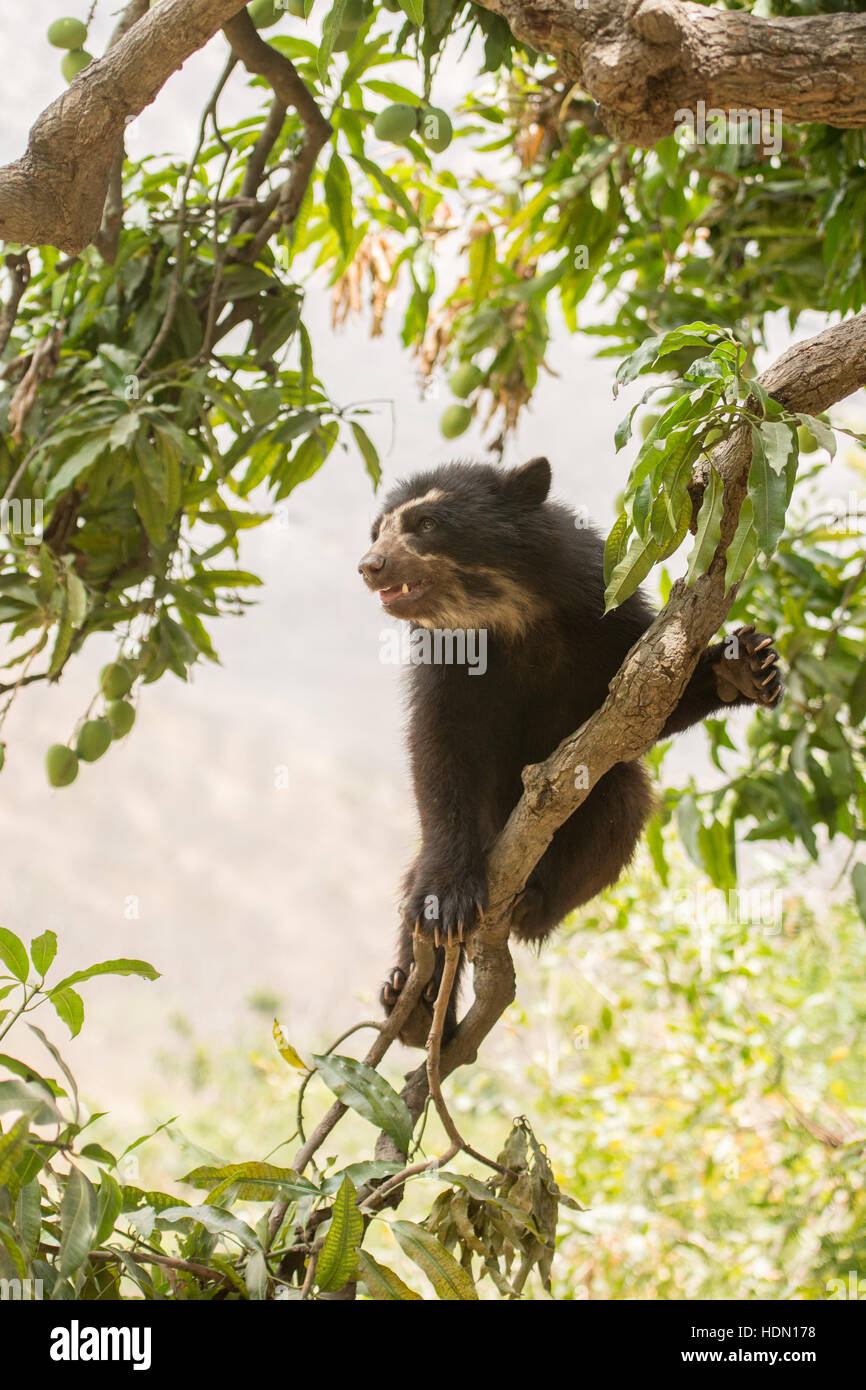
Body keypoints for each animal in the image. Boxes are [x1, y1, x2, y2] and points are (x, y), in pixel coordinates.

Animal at [358, 455, 783, 1045]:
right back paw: (412, 1006)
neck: (508, 611)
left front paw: (745, 668)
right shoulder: (446, 664)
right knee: (414, 894)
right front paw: (445, 907)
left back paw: (531, 905)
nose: (369, 566)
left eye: (426, 524)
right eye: (378, 531)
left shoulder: (599, 604)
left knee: (622, 809)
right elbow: (440, 754)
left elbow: (651, 701)